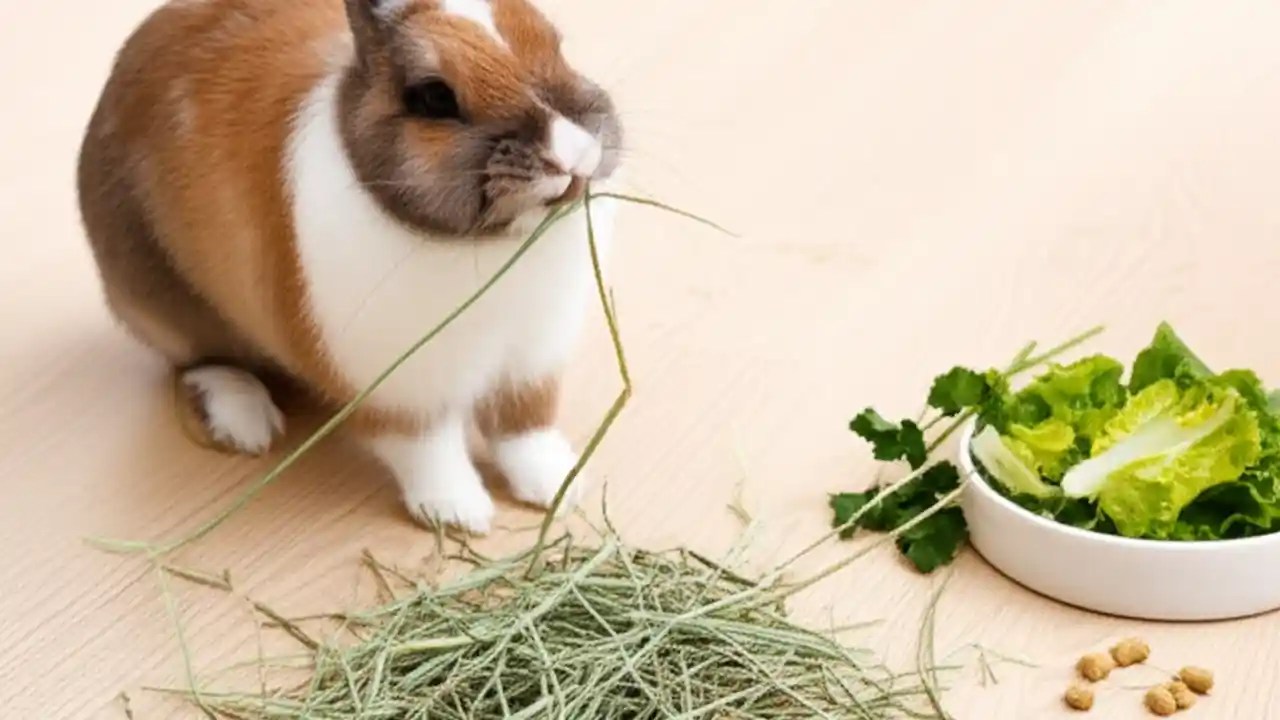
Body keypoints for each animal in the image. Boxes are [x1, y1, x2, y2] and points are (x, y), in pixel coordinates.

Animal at [76, 0, 623, 534]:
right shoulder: (396, 392)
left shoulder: (531, 365)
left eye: (555, 43)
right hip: (162, 300)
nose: (573, 152)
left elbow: (525, 430)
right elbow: (429, 451)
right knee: (199, 360)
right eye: (433, 98)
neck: (491, 243)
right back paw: (247, 423)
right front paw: (460, 513)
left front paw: (560, 488)